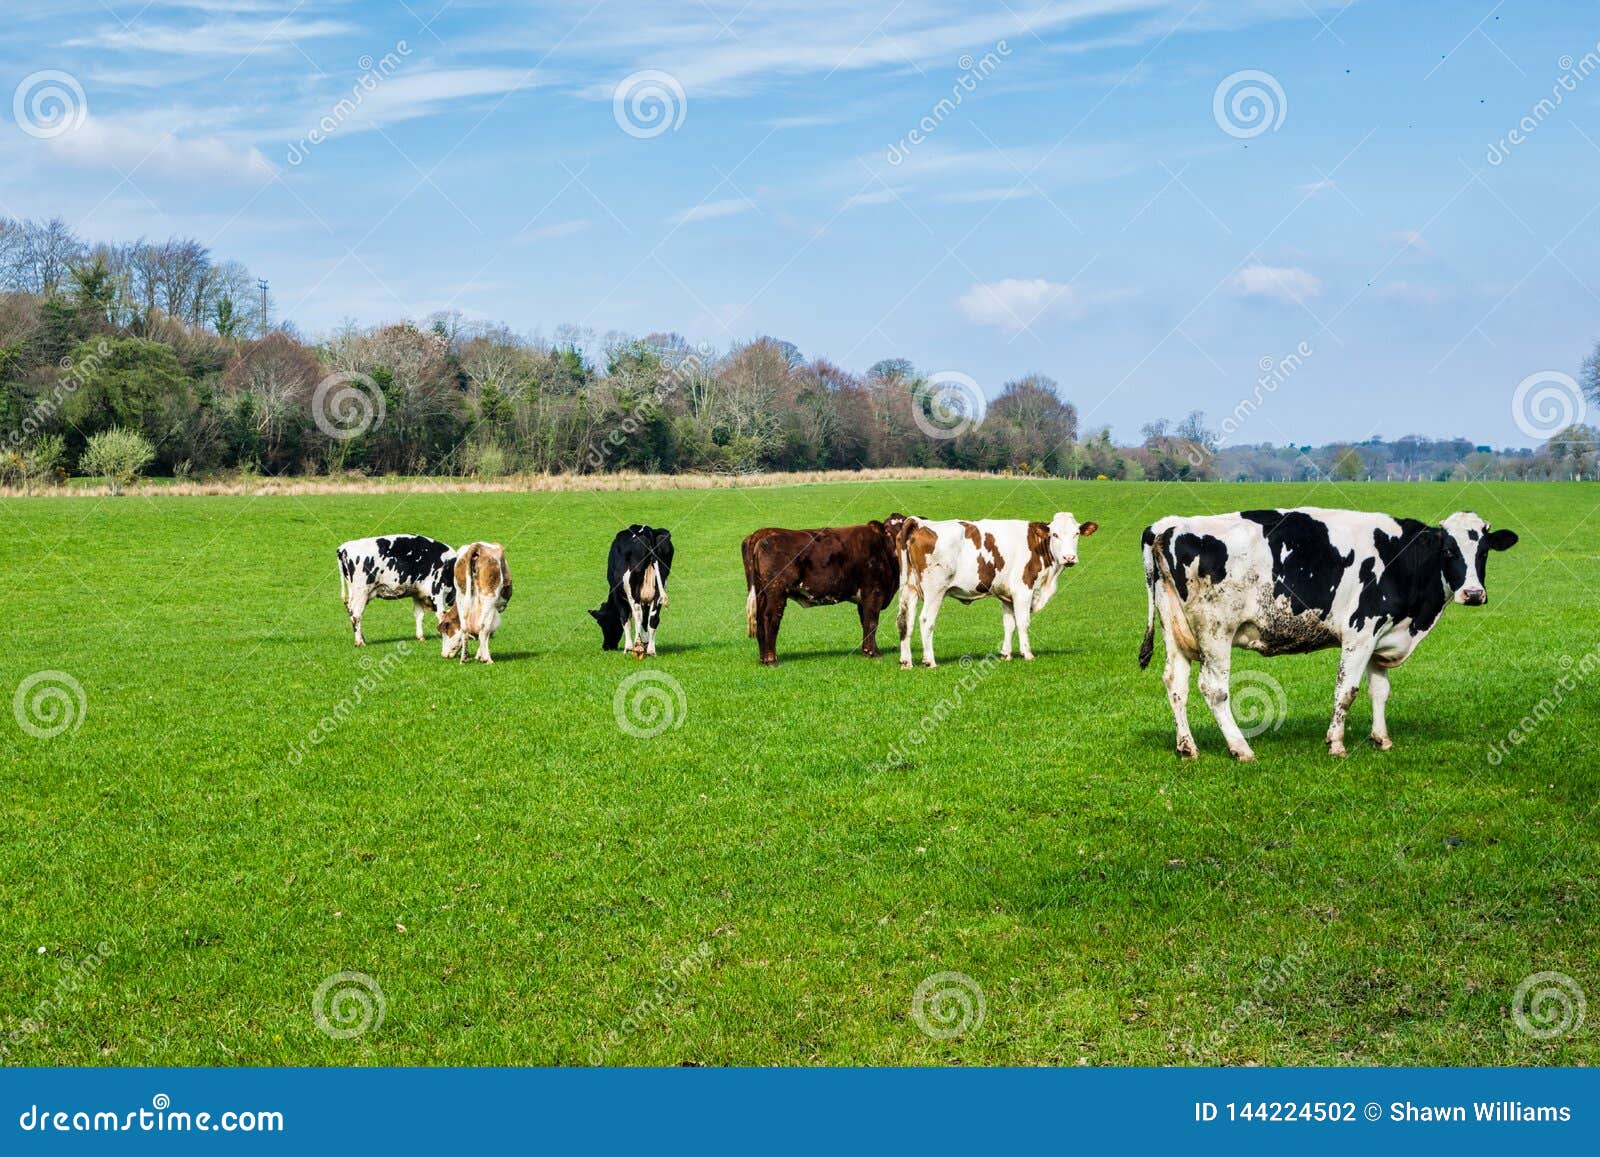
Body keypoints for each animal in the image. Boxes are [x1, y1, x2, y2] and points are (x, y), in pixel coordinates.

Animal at [589, 525, 674, 657]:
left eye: (601, 622)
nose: (606, 646)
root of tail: (648, 531)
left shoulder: (618, 596)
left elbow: (625, 618)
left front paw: (630, 647)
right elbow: (645, 619)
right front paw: (645, 642)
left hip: (633, 591)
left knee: (638, 615)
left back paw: (636, 647)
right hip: (660, 589)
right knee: (653, 618)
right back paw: (651, 650)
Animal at [741, 514, 907, 666]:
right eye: (888, 532)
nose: (898, 550)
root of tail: (762, 532)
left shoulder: (864, 598)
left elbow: (865, 622)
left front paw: (866, 651)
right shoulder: (874, 593)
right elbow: (871, 622)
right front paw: (873, 653)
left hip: (761, 593)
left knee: (759, 619)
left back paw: (763, 659)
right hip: (776, 591)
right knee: (770, 619)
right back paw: (771, 660)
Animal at [896, 513, 1097, 668]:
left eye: (1077, 534)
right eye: (1054, 534)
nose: (1069, 557)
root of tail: (921, 523)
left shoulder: (1006, 595)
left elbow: (1009, 624)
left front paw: (1006, 654)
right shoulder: (1023, 589)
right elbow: (1023, 622)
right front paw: (1027, 654)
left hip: (908, 589)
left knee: (906, 622)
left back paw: (906, 662)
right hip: (935, 590)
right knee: (926, 621)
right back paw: (930, 661)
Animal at [1139, 508, 1518, 760]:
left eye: (1484, 551)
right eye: (1449, 550)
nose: (1473, 593)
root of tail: (1168, 525)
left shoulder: (1379, 636)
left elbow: (1380, 691)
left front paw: (1381, 738)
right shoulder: (1360, 632)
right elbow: (1346, 691)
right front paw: (1336, 743)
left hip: (1177, 631)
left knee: (1176, 684)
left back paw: (1187, 747)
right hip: (1216, 631)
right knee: (1213, 689)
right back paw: (1240, 747)